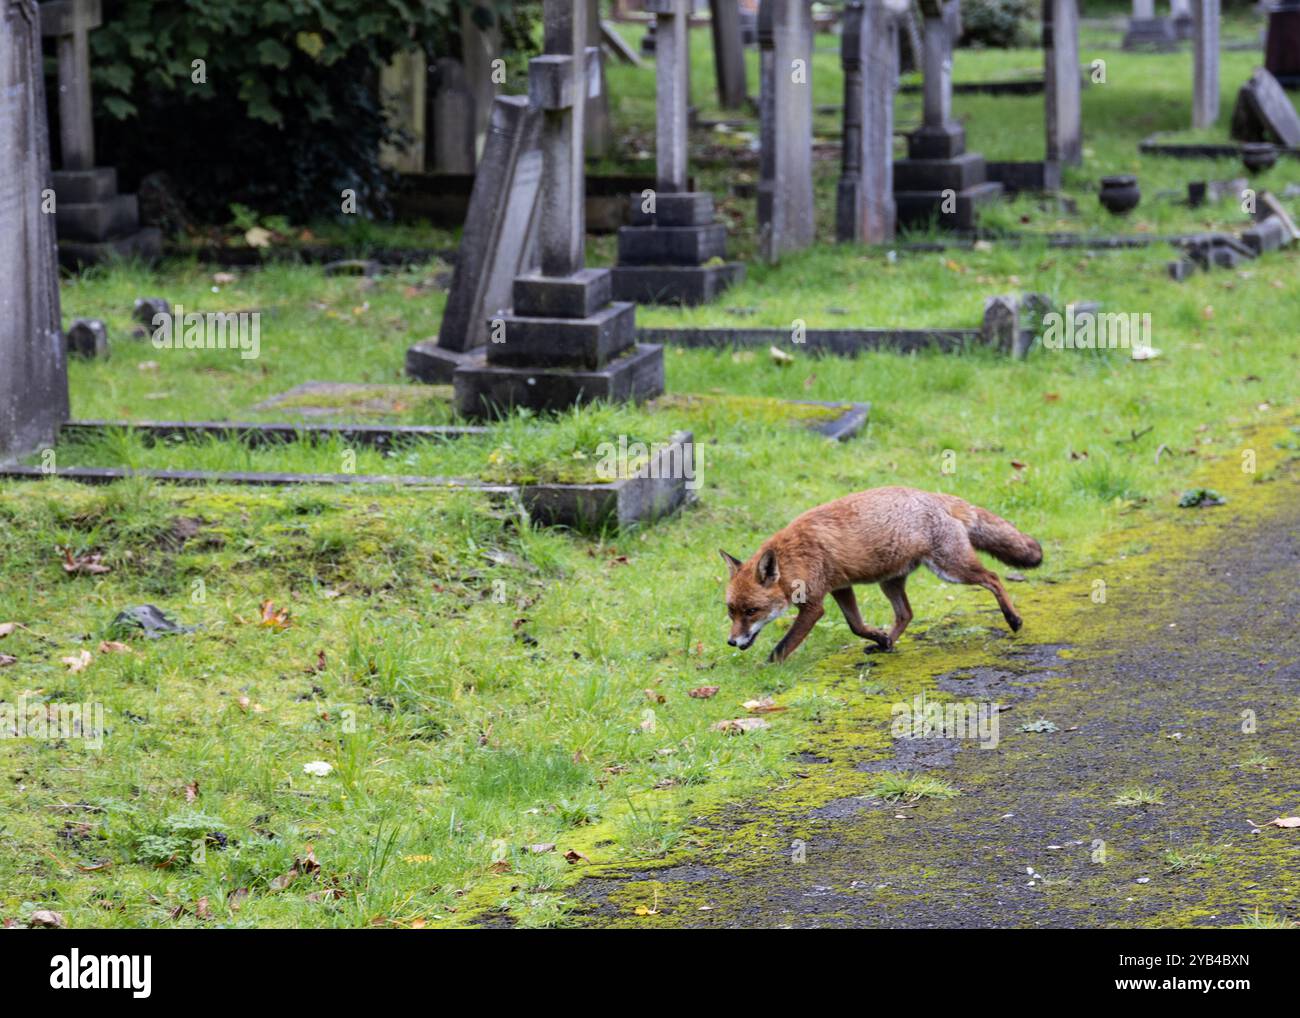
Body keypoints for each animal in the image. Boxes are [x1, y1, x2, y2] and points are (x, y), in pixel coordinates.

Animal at [720, 486, 1043, 663]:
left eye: (752, 611)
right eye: (731, 612)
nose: (731, 643)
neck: (794, 559)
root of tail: (934, 496)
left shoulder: (814, 605)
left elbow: (783, 646)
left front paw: (766, 669)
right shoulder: (840, 588)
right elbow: (856, 626)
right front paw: (879, 638)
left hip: (952, 569)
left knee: (993, 577)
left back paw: (1013, 619)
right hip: (891, 582)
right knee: (906, 614)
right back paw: (886, 645)